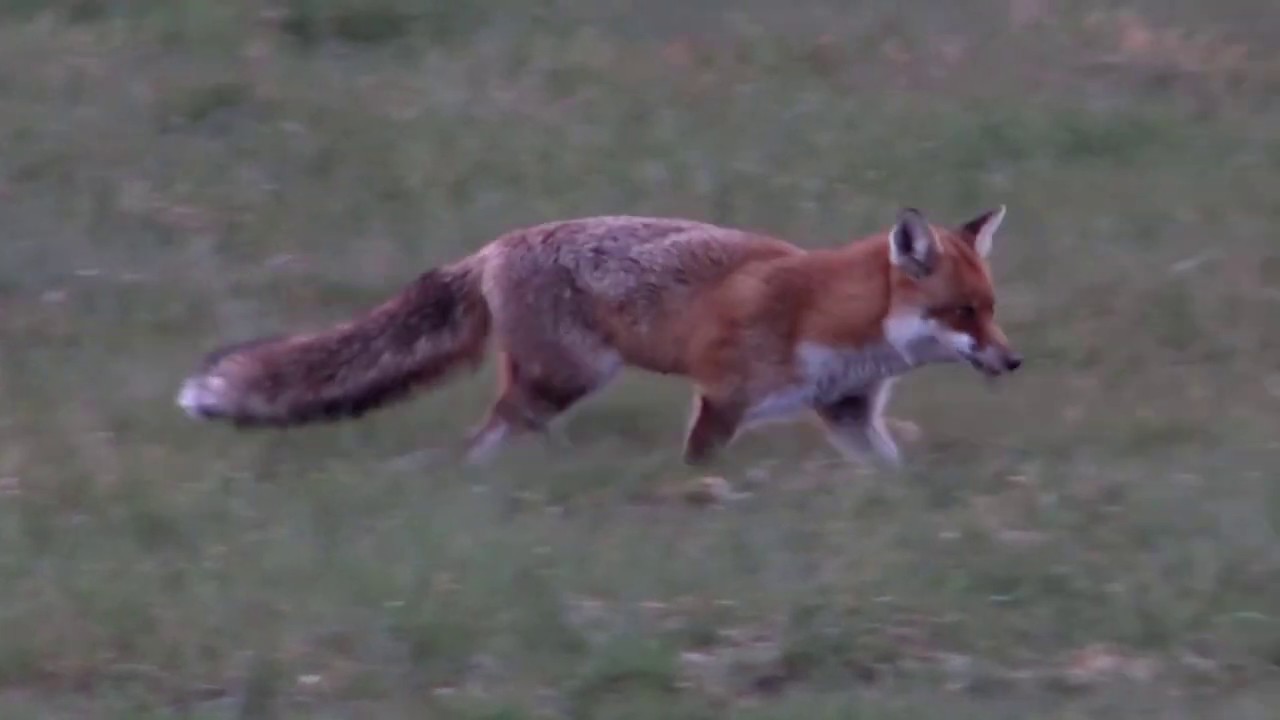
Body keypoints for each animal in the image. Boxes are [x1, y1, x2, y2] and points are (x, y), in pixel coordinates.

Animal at [176, 206, 1021, 466]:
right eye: (962, 313)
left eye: (990, 307)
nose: (1014, 360)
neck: (835, 320)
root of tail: (494, 247)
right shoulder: (723, 397)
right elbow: (699, 468)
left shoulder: (846, 414)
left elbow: (891, 472)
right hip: (565, 382)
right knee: (481, 440)